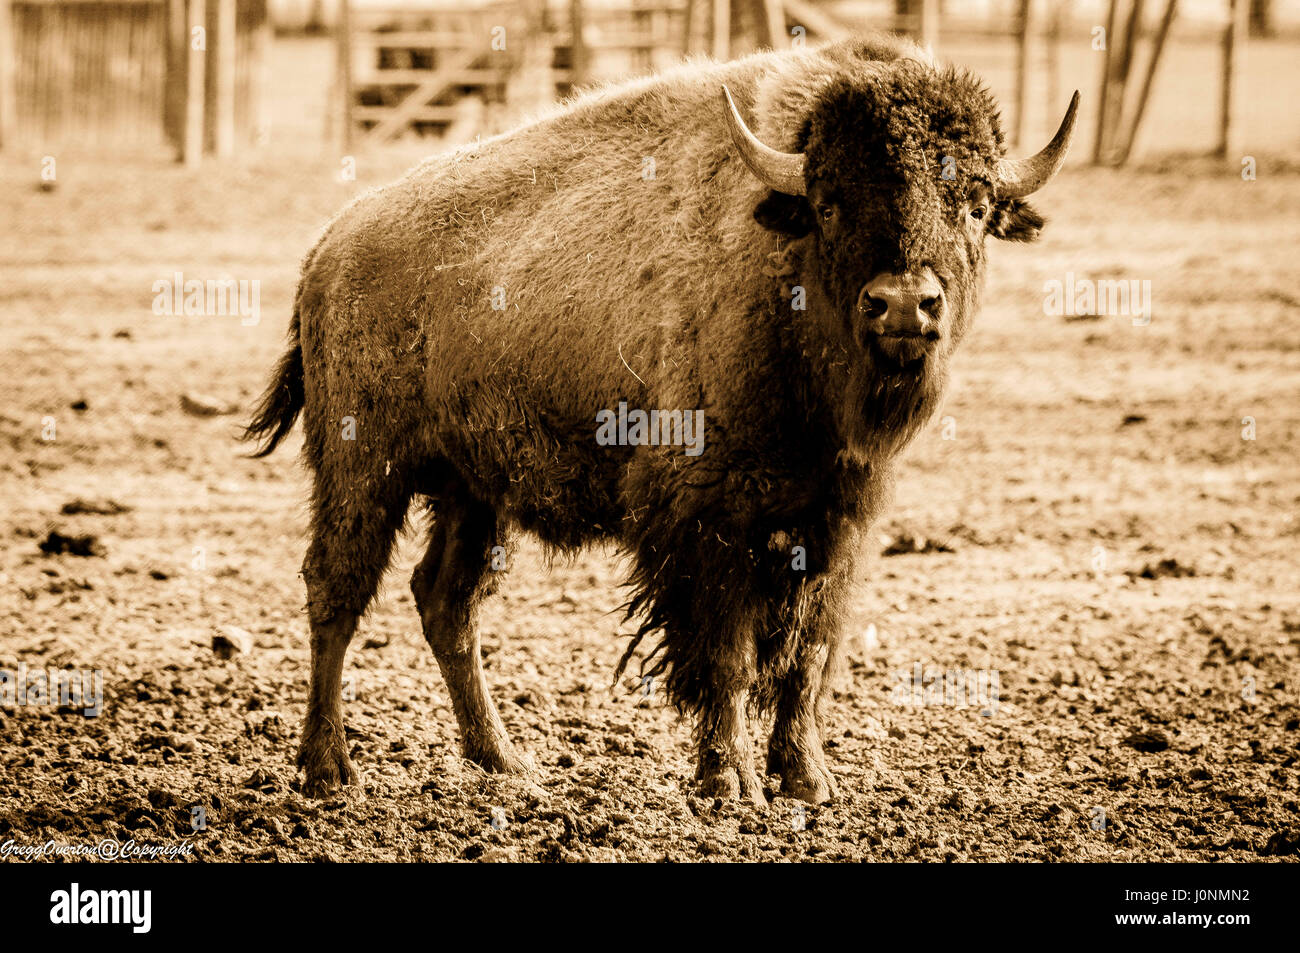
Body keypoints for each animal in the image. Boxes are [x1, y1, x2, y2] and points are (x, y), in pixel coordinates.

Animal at [244, 33, 1077, 805]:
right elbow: (728, 656)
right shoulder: (709, 520)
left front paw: (809, 780)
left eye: (975, 205)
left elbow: (808, 655)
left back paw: (505, 760)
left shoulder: (839, 519)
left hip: (470, 489)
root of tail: (329, 248)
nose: (904, 305)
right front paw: (729, 782)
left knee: (446, 602)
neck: (783, 264)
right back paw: (328, 768)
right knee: (337, 591)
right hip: (364, 470)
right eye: (830, 201)